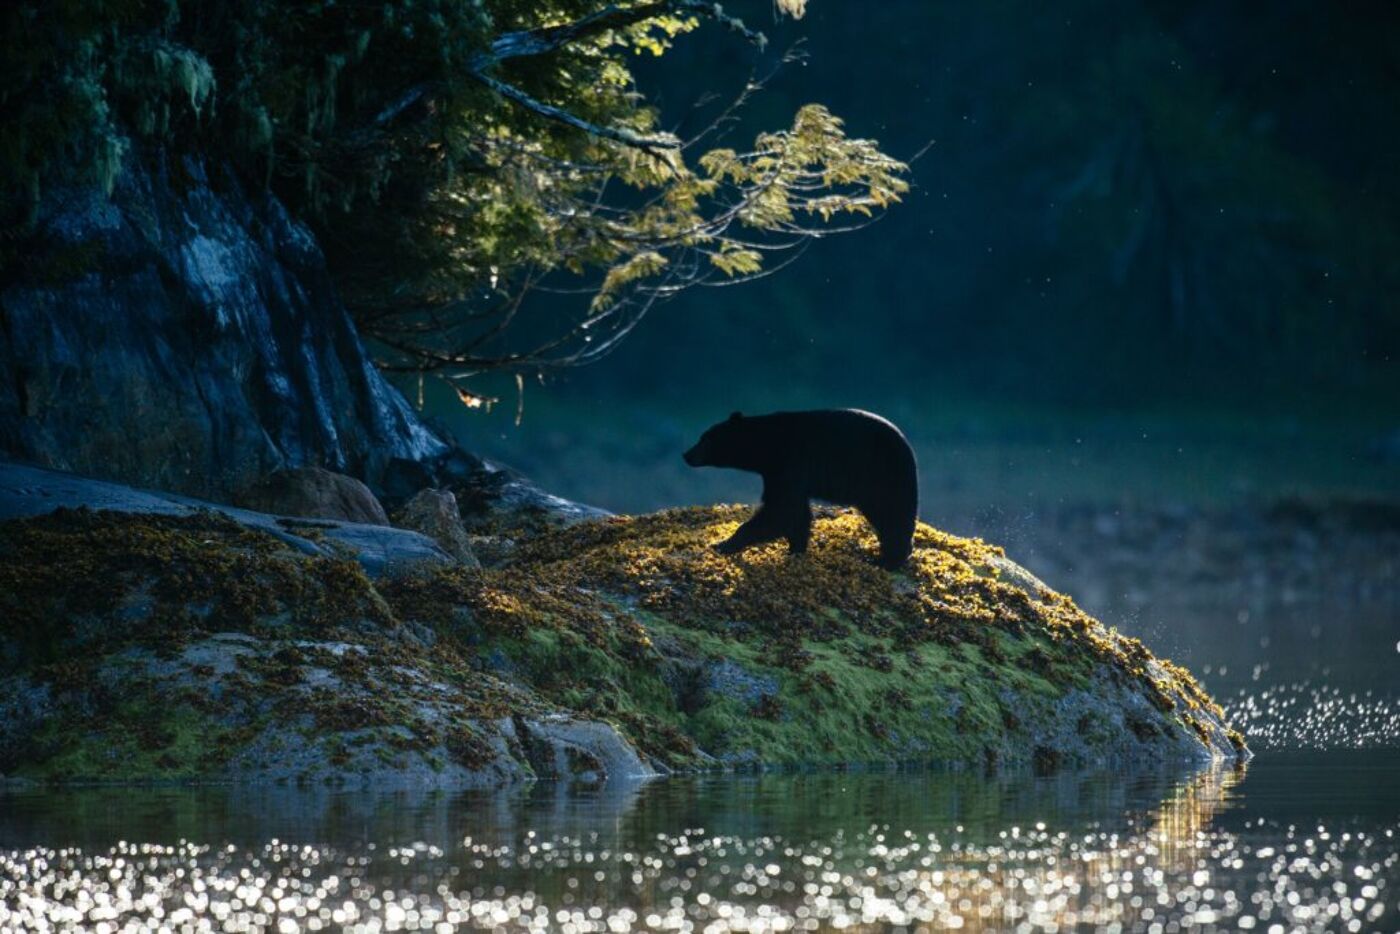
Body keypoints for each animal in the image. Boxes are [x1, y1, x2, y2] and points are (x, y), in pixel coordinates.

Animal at [682, 409, 918, 569]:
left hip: (881, 477)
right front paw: (796, 549)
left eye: (705, 439)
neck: (768, 445)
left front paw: (722, 544)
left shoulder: (790, 464)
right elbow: (796, 513)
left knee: (892, 516)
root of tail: (909, 451)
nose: (686, 454)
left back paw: (887, 560)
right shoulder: (780, 472)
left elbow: (781, 510)